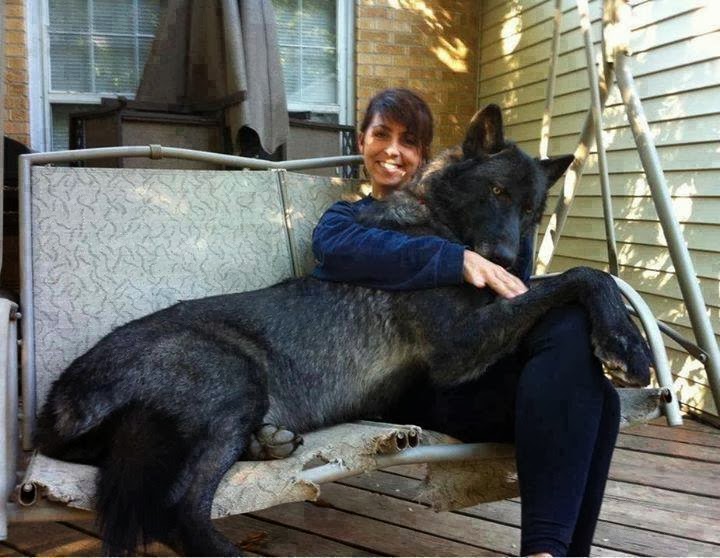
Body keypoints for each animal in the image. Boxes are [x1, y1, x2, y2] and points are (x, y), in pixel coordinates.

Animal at [36, 105, 652, 556]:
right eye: (497, 193)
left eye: (532, 211)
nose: (505, 261)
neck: (436, 223)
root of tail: (58, 401)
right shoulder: (458, 347)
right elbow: (582, 274)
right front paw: (627, 343)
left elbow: (570, 281)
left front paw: (619, 336)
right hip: (234, 382)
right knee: (176, 512)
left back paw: (267, 441)